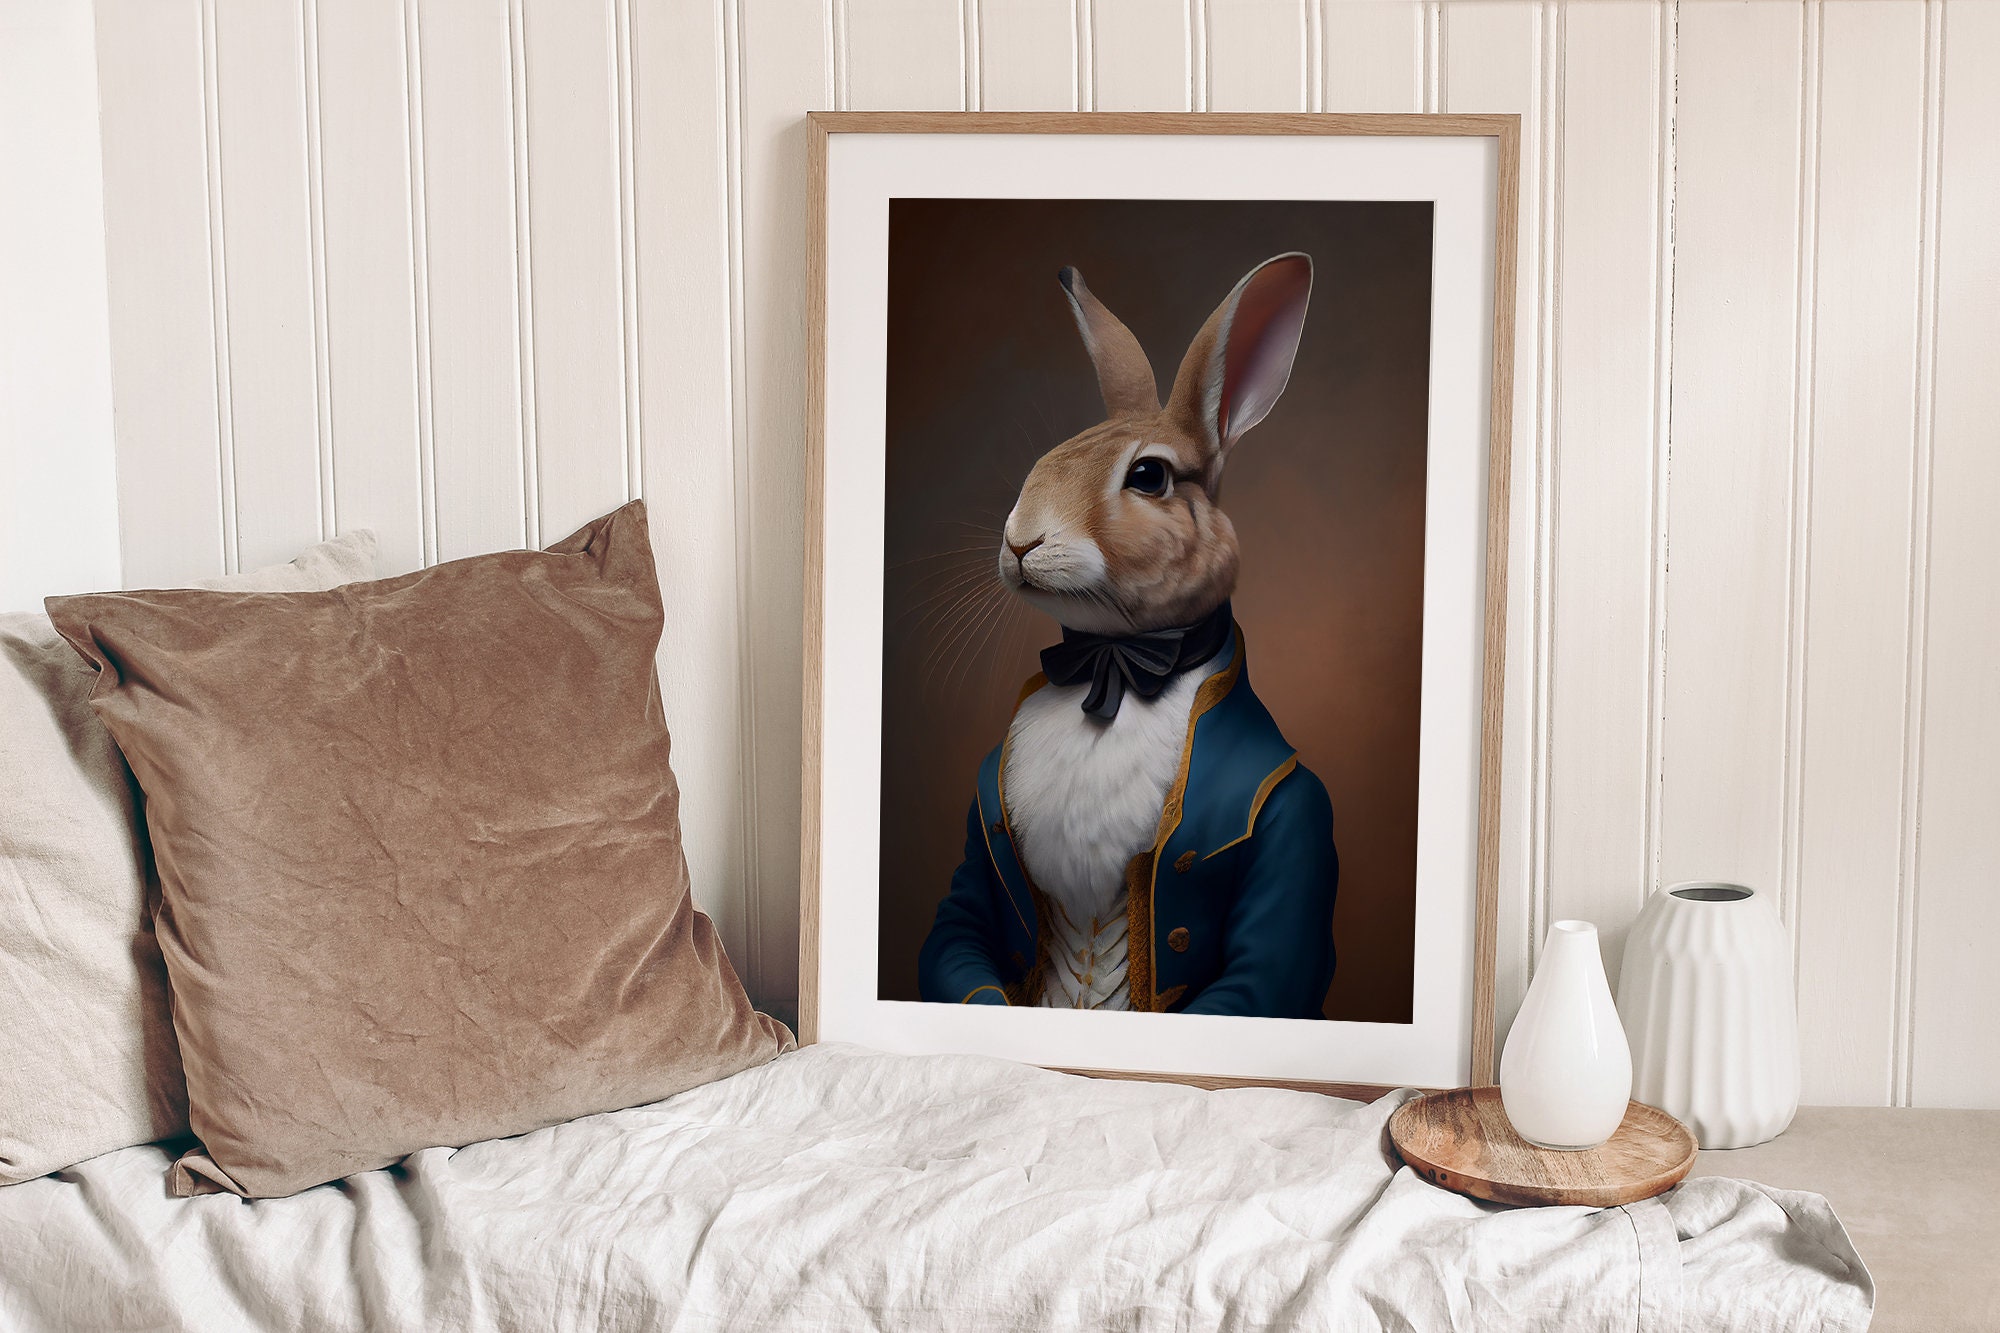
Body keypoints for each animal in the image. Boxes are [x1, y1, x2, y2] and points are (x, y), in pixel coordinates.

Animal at [917, 253, 1341, 1019]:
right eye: (1048, 459)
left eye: (1148, 475)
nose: (1020, 540)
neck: (1113, 667)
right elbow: (959, 920)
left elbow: (1268, 961)